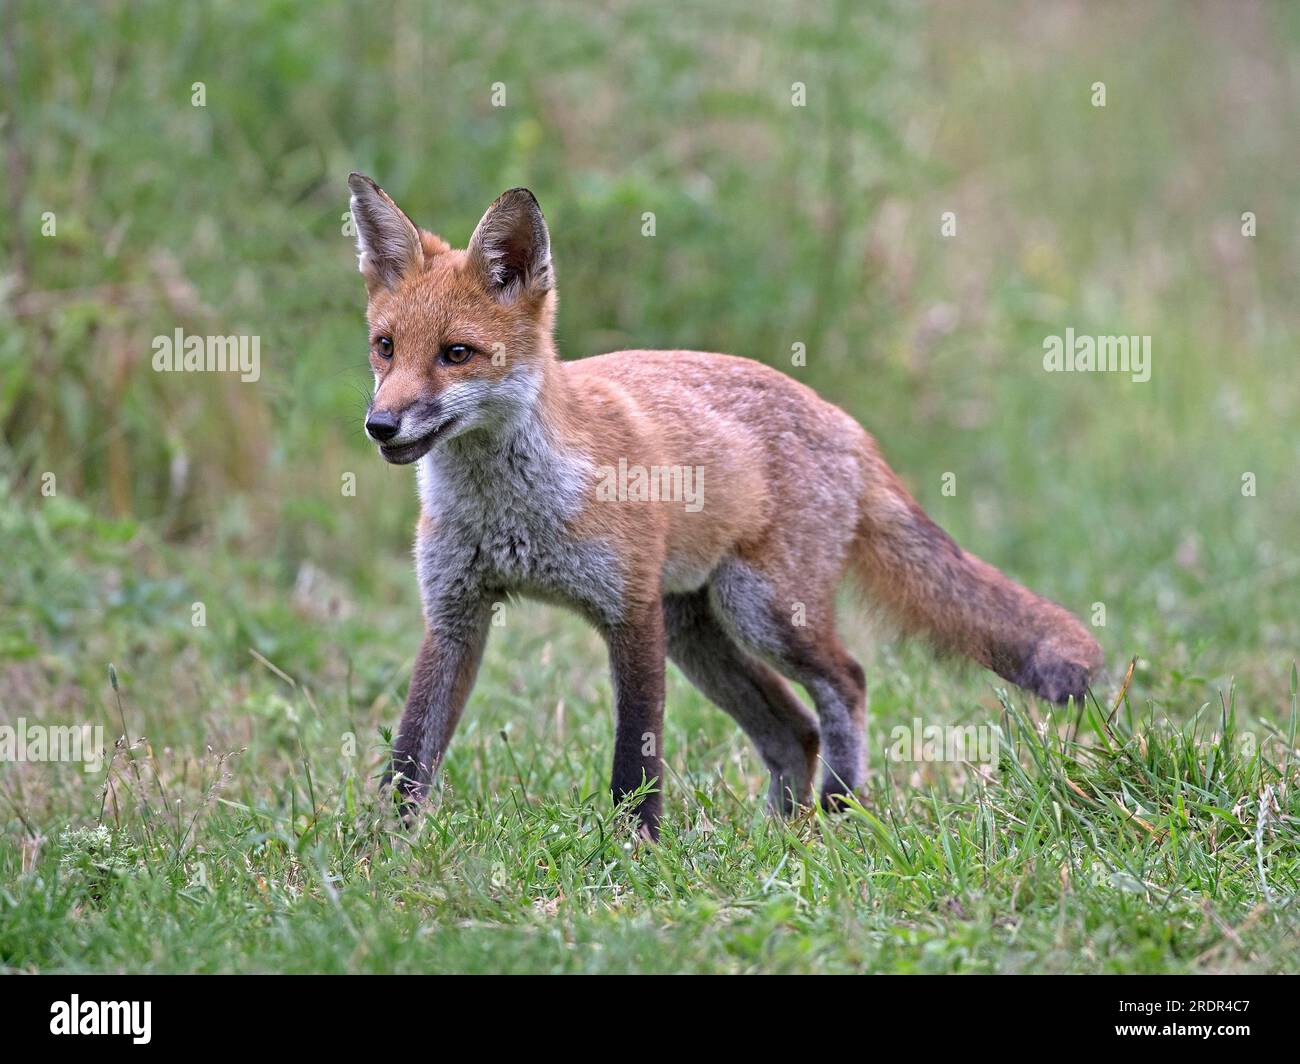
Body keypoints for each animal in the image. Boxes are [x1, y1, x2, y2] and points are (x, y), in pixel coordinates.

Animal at [347, 173, 1104, 840]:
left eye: (456, 353)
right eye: (385, 347)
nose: (380, 426)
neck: (513, 516)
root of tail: (847, 424)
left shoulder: (631, 612)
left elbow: (635, 760)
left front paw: (635, 855)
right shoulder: (455, 615)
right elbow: (409, 757)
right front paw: (387, 853)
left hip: (762, 611)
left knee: (848, 683)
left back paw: (837, 814)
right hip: (699, 631)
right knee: (795, 730)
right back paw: (782, 835)